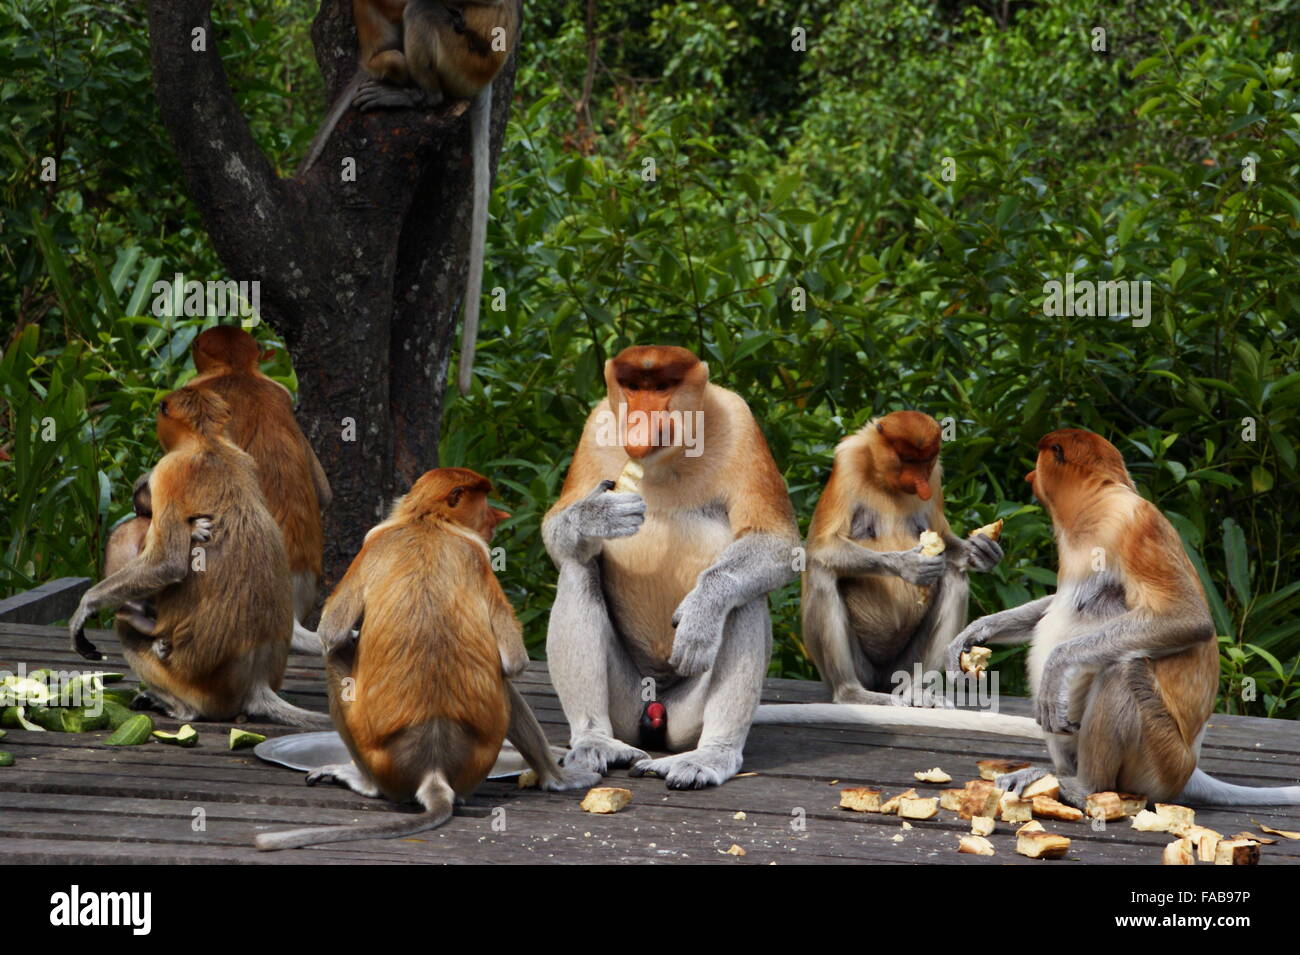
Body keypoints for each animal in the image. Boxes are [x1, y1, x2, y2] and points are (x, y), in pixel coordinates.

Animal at [68, 387, 330, 728]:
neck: (208, 442)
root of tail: (256, 683)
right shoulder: (247, 460)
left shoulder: (168, 471)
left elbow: (167, 563)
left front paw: (84, 608)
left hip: (186, 681)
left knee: (127, 627)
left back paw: (176, 706)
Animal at [254, 467, 599, 851]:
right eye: (484, 502)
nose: (496, 517)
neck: (428, 522)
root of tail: (433, 769)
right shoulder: (473, 553)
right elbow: (511, 663)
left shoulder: (382, 540)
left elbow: (334, 634)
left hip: (386, 761)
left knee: (336, 658)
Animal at [542, 345, 803, 790]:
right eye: (633, 386)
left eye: (662, 387)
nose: (638, 422)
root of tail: (656, 706)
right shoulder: (596, 425)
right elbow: (556, 534)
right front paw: (594, 515)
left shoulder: (741, 423)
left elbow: (777, 541)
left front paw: (701, 614)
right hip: (625, 704)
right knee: (578, 569)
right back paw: (597, 741)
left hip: (685, 717)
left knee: (744, 600)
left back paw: (710, 755)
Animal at [799, 412, 1004, 706]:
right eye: (906, 459)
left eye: (925, 461)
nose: (921, 486)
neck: (884, 479)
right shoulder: (847, 462)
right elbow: (822, 547)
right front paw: (908, 566)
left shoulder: (935, 475)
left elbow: (943, 538)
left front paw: (982, 552)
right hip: (859, 668)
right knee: (822, 572)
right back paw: (851, 693)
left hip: (903, 666)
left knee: (954, 576)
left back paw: (918, 690)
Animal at [942, 429, 1300, 807]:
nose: (1029, 476)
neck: (1096, 500)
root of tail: (1189, 770)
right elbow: (1053, 604)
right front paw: (976, 631)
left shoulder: (1131, 523)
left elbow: (1189, 618)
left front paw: (1055, 668)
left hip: (1159, 762)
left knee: (1121, 669)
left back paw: (1083, 787)